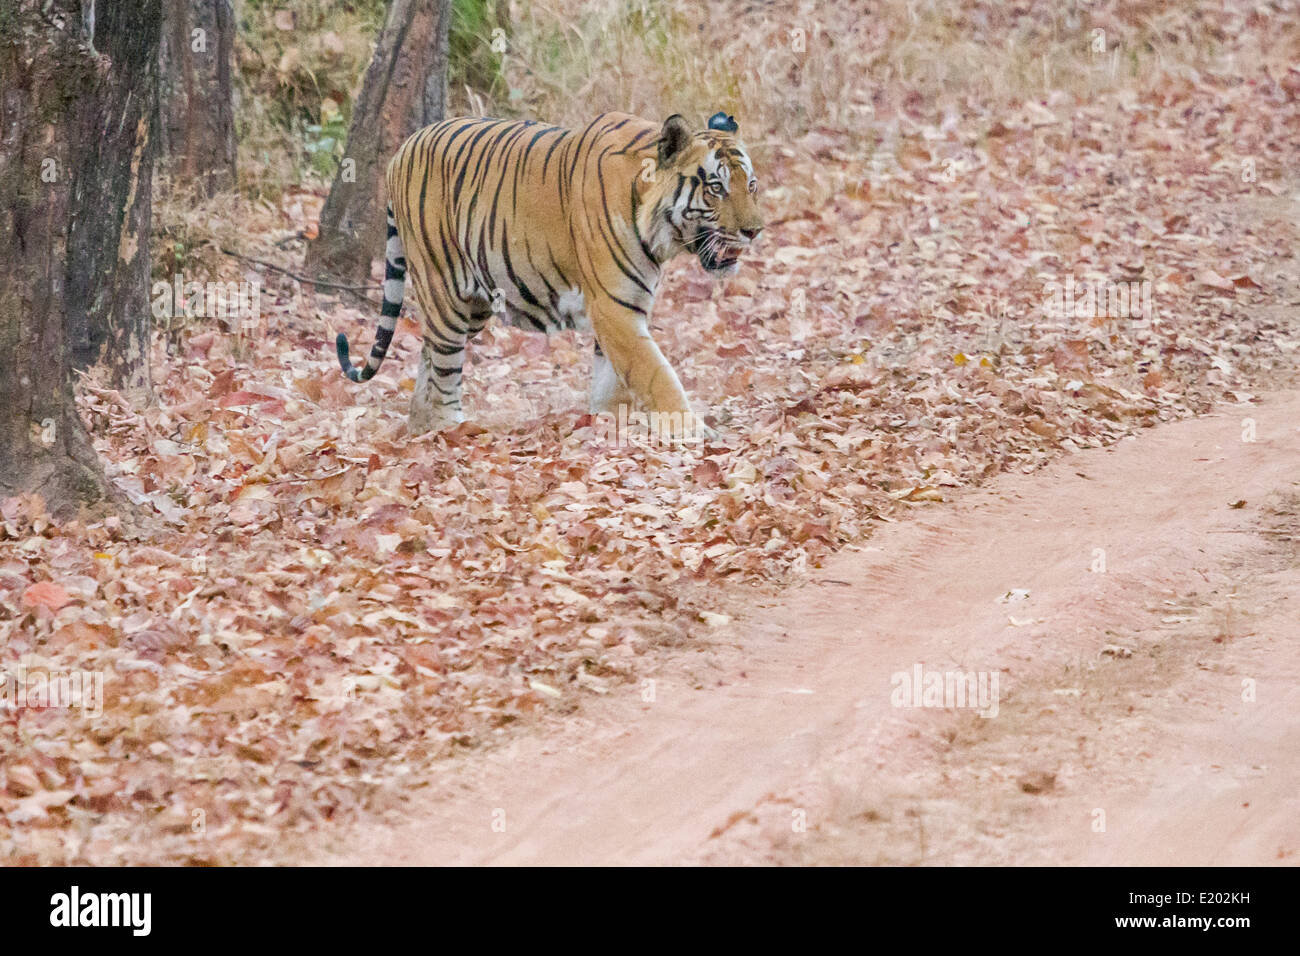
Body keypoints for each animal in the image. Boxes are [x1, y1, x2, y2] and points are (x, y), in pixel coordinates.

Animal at [335, 110, 763, 436]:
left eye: (752, 185)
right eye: (716, 188)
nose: (755, 230)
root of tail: (401, 151)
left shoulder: (625, 308)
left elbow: (614, 379)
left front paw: (610, 422)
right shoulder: (615, 309)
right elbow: (656, 373)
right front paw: (691, 432)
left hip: (476, 303)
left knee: (427, 358)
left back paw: (419, 428)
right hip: (446, 292)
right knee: (443, 371)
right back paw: (451, 431)